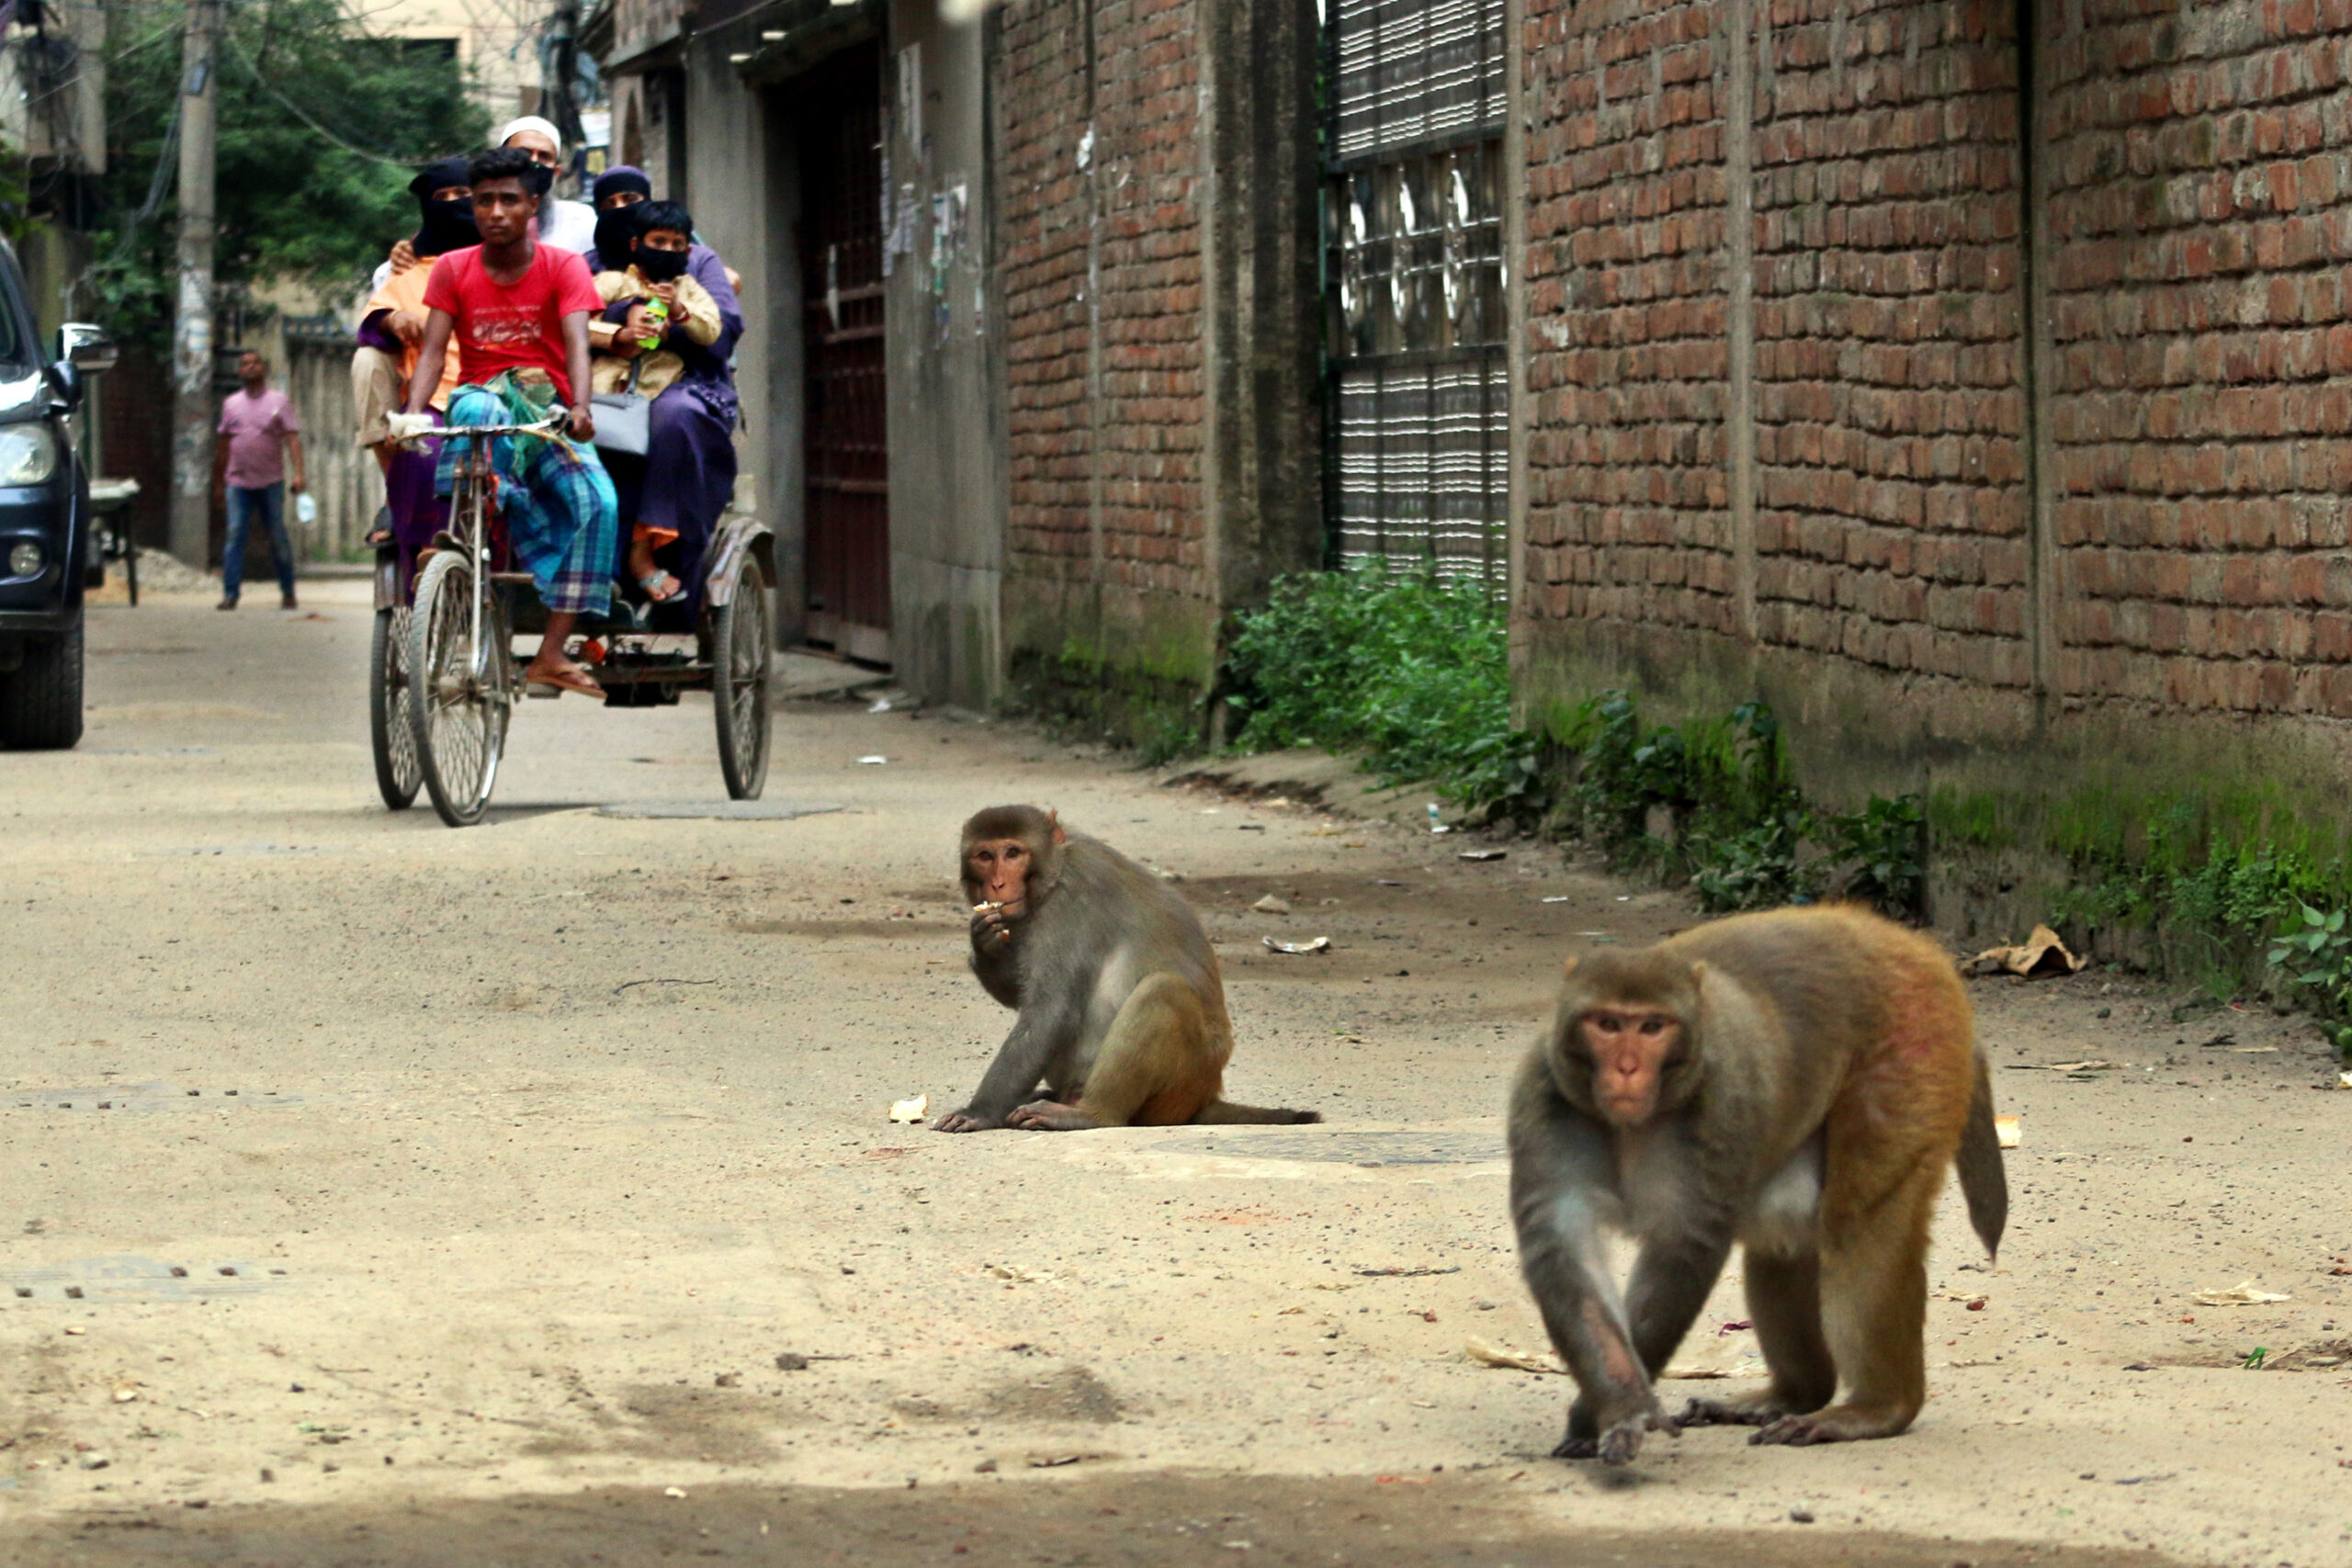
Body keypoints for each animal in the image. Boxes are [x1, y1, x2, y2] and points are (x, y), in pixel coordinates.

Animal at [934, 804, 1321, 1133]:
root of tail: (1207, 1095)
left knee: (1161, 991)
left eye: (1013, 853)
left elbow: (1049, 1010)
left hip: (1183, 1084)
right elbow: (1025, 997)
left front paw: (979, 1112)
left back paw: (1091, 1115)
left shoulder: (1070, 902)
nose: (997, 883)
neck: (1056, 870)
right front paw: (985, 943)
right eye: (985, 856)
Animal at [1507, 904, 2007, 1464]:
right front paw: (1618, 1404)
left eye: (1653, 1027)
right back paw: (1795, 1394)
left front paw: (1604, 1415)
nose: (1628, 1068)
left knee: (1861, 1226)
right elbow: (1564, 1251)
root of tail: (1915, 946)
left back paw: (1878, 1408)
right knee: (1784, 1234)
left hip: (1911, 1046)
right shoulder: (1543, 1098)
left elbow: (1683, 1247)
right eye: (1608, 1024)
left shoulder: (1723, 1101)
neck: (1632, 1126)